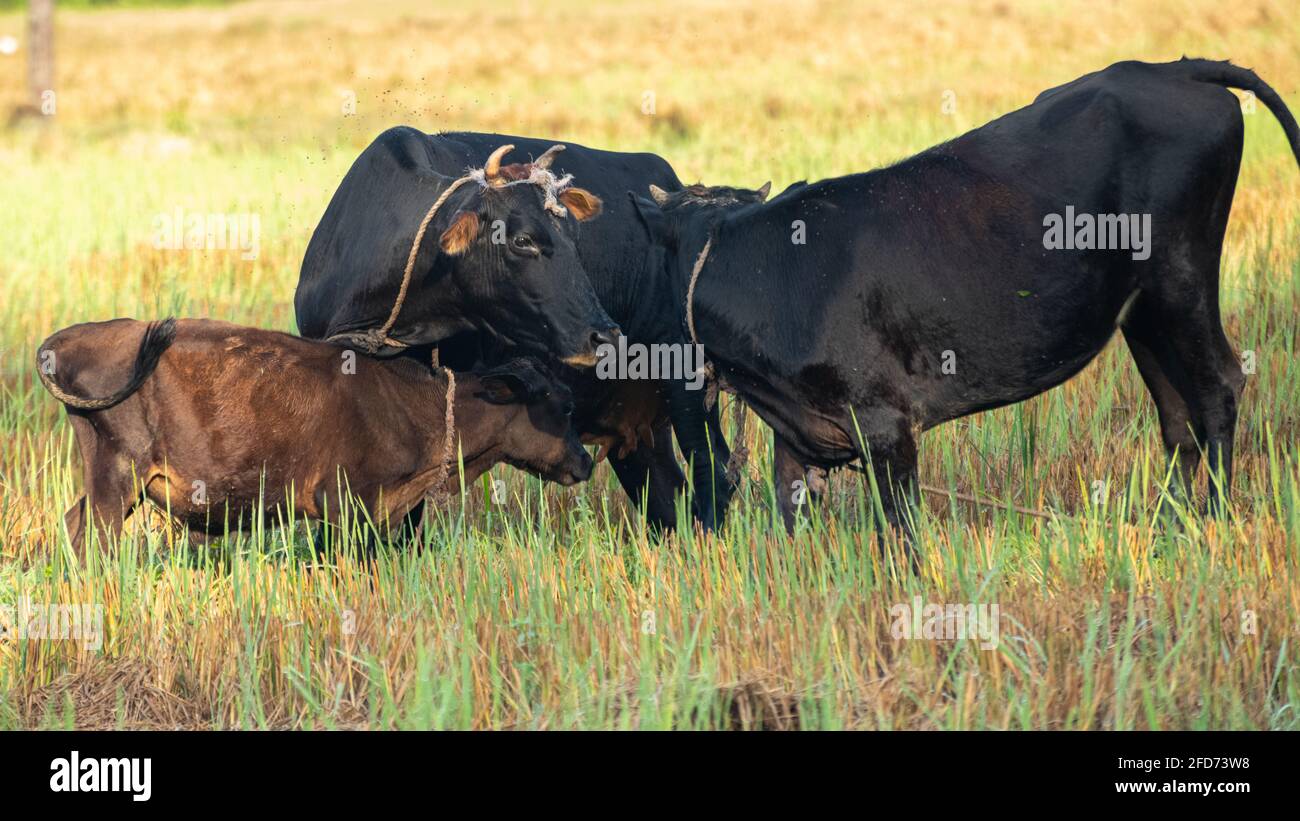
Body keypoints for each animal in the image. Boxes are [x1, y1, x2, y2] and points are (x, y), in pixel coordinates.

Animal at [37, 318, 592, 555]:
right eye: (564, 406)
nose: (586, 462)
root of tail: (70, 338)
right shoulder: (344, 503)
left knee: (72, 522)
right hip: (117, 475)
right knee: (94, 540)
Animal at [297, 128, 756, 532]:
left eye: (574, 236)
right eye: (521, 240)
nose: (604, 336)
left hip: (688, 382)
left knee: (715, 471)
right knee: (665, 492)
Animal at [629, 58, 1300, 540]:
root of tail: (1176, 68)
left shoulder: (887, 425)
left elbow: (900, 536)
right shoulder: (799, 439)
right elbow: (791, 529)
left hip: (1182, 279)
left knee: (1218, 387)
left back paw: (1213, 521)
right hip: (1144, 311)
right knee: (1177, 414)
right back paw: (1171, 525)